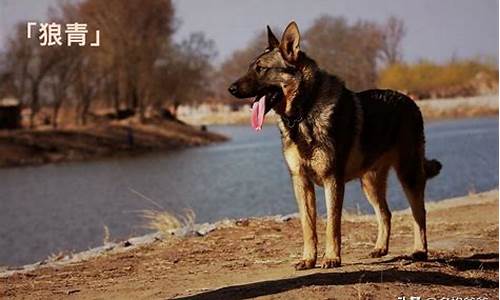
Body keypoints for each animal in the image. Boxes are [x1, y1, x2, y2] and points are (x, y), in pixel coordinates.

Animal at [227, 21, 442, 270]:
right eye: (249, 67)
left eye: (261, 69)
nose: (230, 89)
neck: (304, 113)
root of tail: (410, 101)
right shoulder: (301, 182)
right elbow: (308, 227)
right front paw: (308, 259)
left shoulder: (332, 181)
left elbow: (332, 225)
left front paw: (331, 258)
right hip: (370, 184)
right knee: (386, 213)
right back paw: (380, 248)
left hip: (408, 175)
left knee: (419, 213)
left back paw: (419, 251)